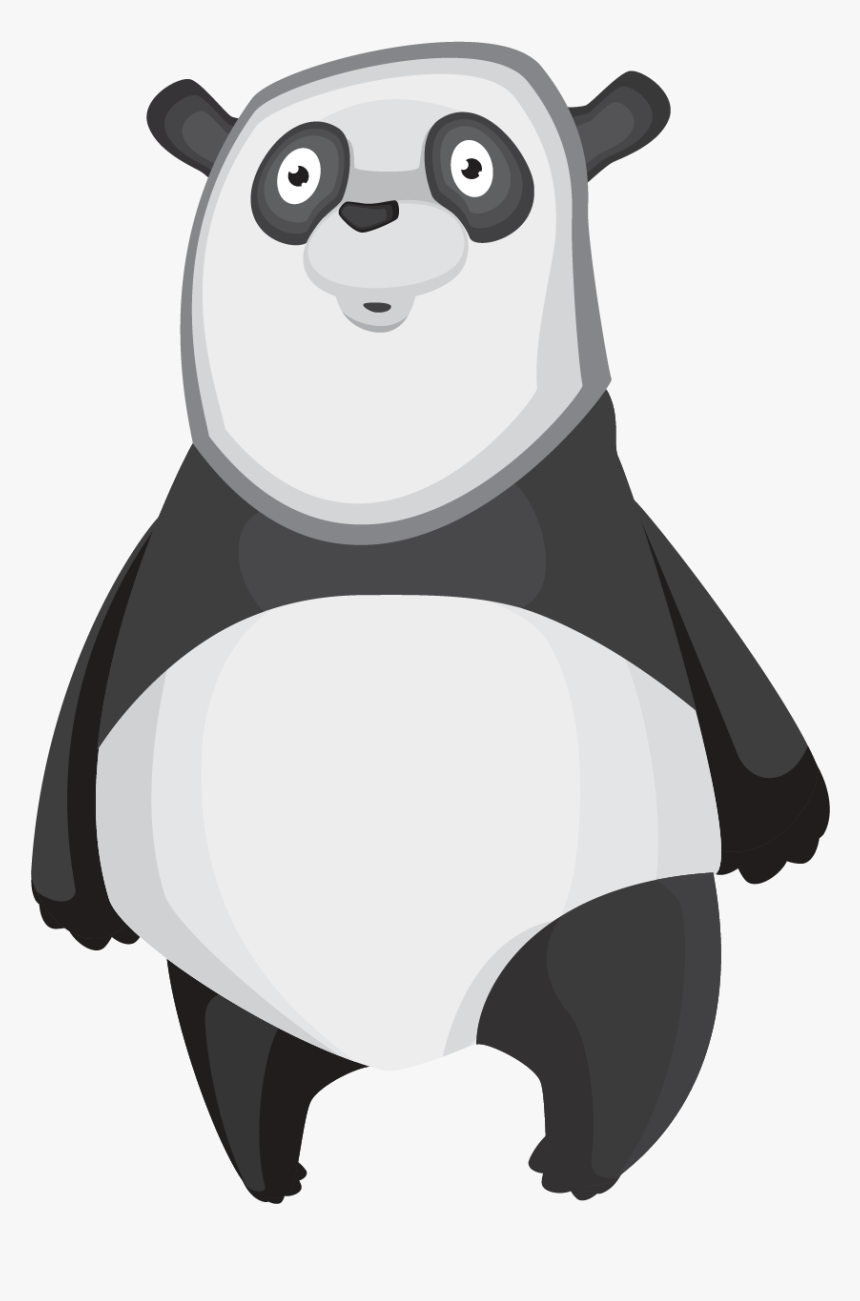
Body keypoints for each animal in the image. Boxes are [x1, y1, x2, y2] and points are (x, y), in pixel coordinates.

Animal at [33, 43, 829, 1204]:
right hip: (234, 966)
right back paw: (274, 1166)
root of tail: (422, 1044)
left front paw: (788, 833)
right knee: (236, 1047)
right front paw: (69, 903)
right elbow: (87, 695)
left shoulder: (612, 540)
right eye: (297, 175)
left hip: (599, 902)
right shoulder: (173, 550)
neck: (385, 484)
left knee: (630, 1003)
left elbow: (728, 676)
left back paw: (573, 1162)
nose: (364, 210)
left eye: (472, 165)